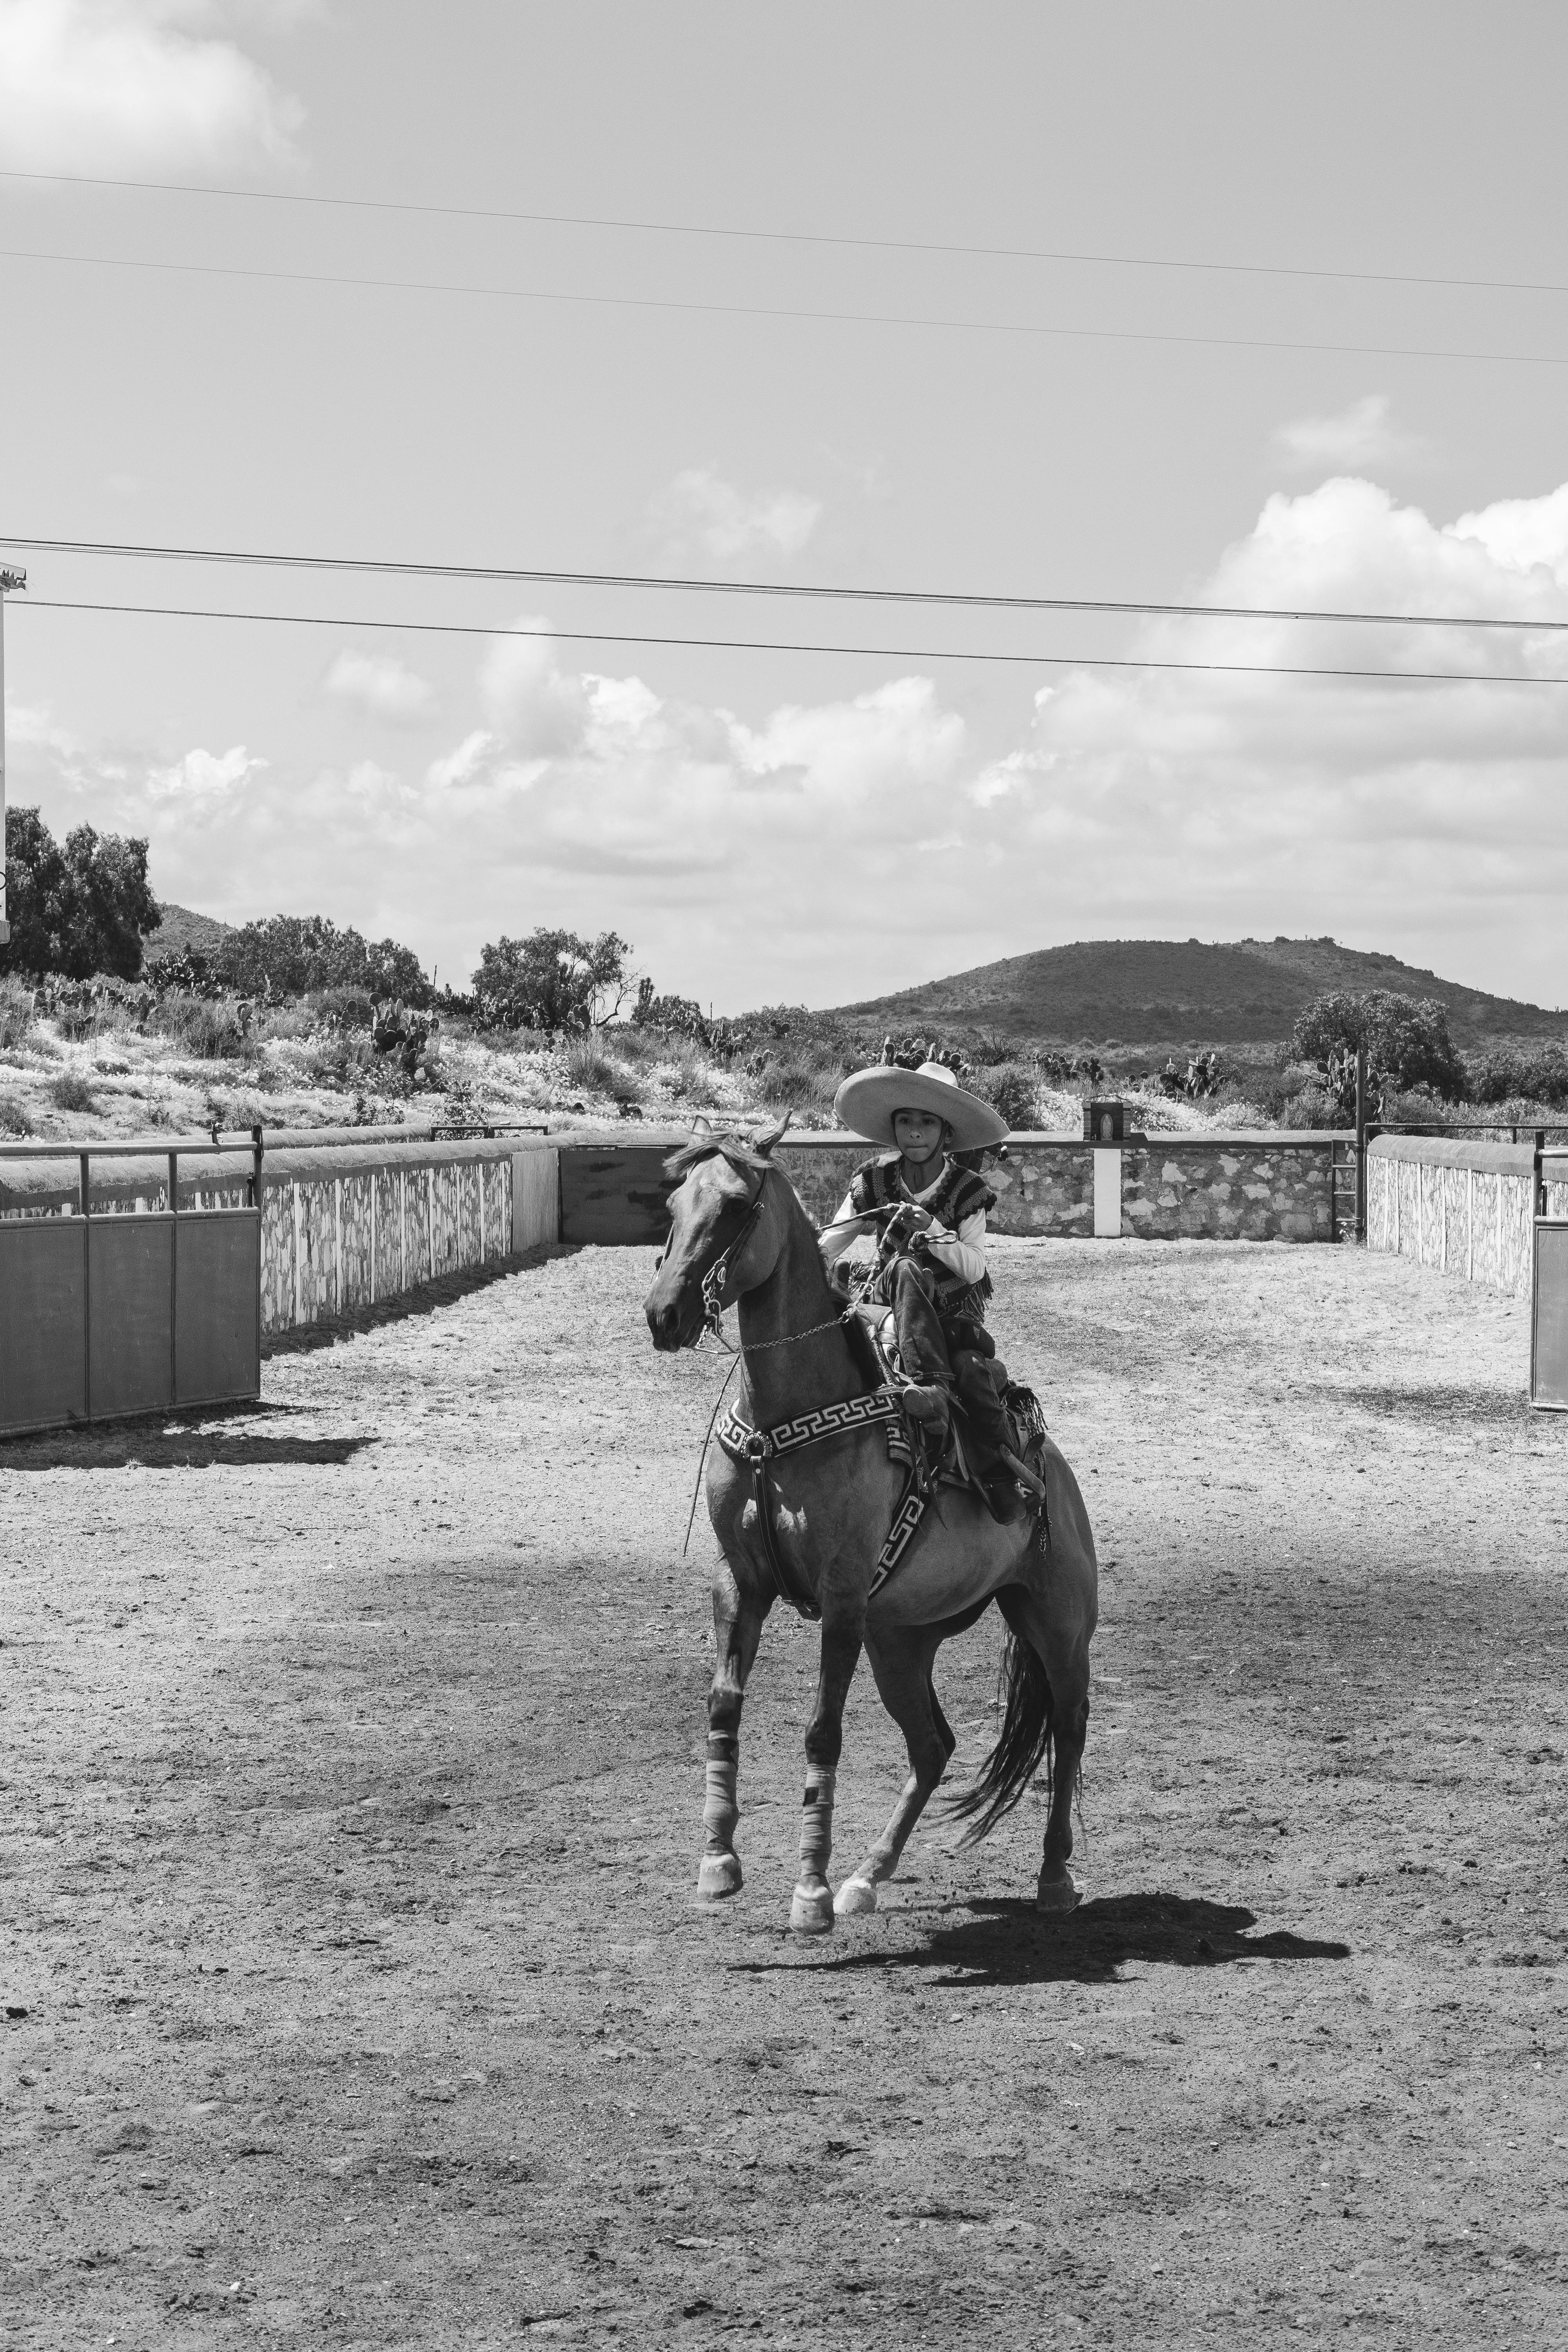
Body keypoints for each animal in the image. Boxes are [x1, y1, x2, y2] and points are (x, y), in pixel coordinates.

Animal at [643, 1119, 1098, 1935]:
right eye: (673, 1203)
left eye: (735, 1208)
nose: (665, 1314)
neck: (786, 1423)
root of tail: (1055, 1473)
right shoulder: (741, 1582)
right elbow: (723, 1707)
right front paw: (720, 1862)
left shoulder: (844, 1598)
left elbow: (823, 1731)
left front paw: (808, 1893)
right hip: (903, 1640)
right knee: (933, 1744)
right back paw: (867, 1876)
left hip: (1058, 1622)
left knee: (1069, 1727)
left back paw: (1054, 1880)